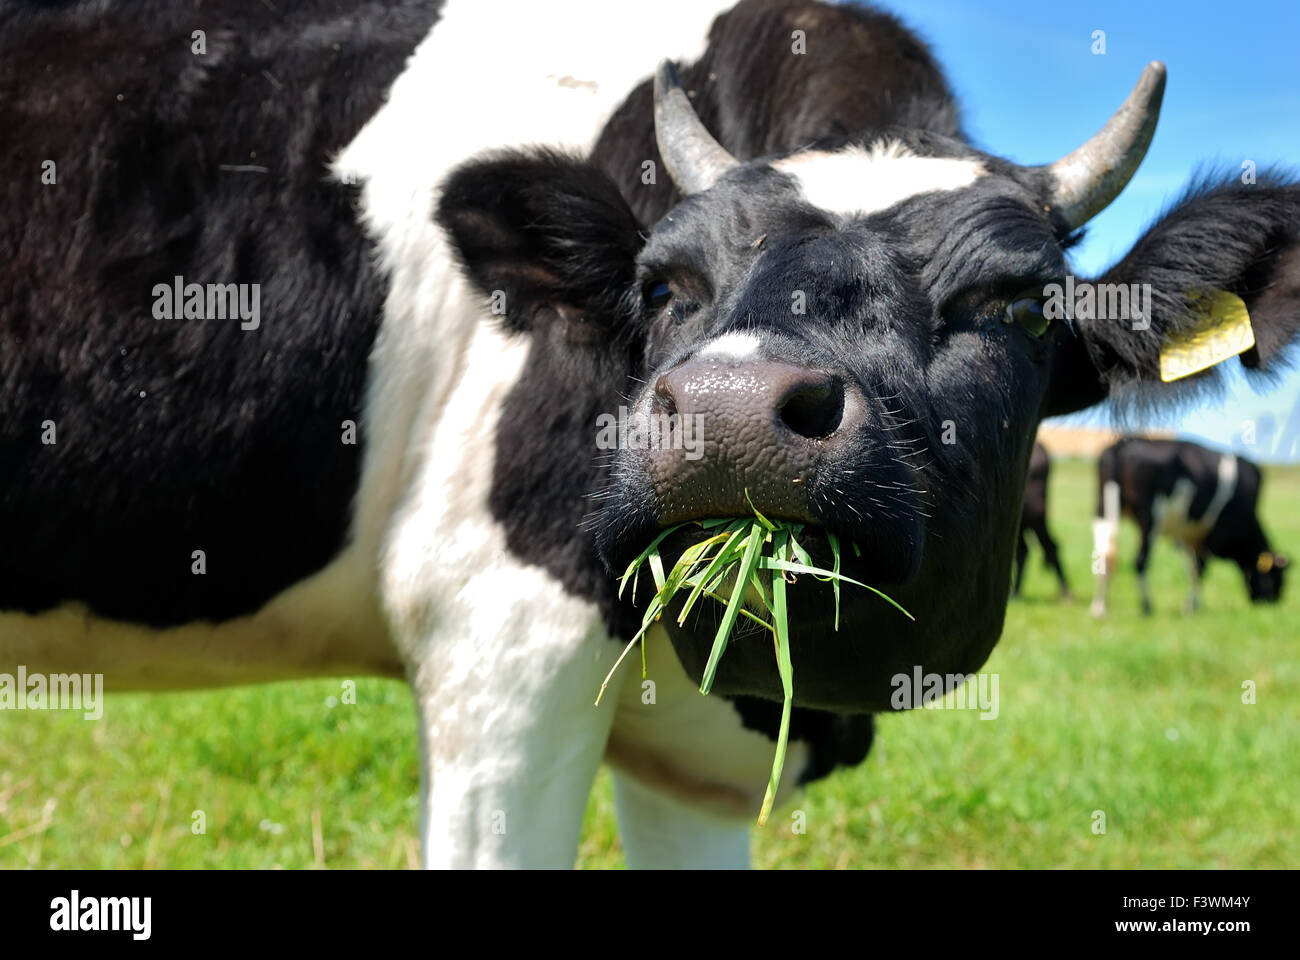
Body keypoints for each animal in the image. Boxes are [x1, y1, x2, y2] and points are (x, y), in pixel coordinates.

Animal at [1092, 434, 1284, 613]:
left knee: (1104, 555)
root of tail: (1125, 443)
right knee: (1140, 560)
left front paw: (1192, 605)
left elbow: (1190, 567)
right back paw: (1146, 606)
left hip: (1103, 509)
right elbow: (1200, 569)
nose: (1273, 603)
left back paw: (1100, 608)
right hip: (1150, 518)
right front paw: (1191, 607)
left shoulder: (1187, 535)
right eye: (1276, 576)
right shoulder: (1210, 537)